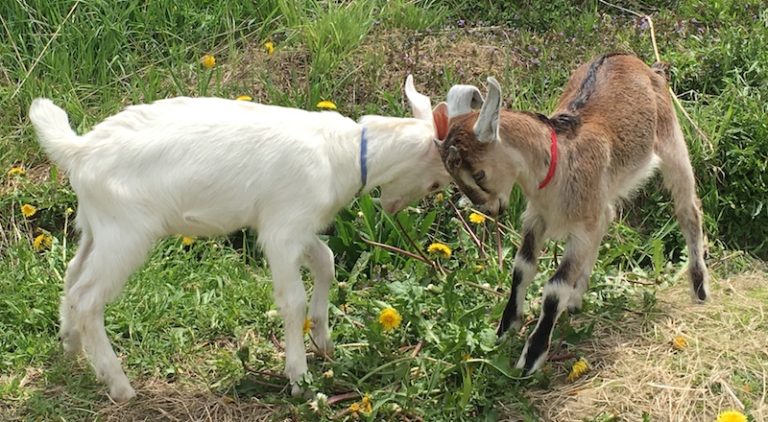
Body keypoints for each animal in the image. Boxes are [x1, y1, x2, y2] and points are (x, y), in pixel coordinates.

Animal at [28, 75, 450, 401]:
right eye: (438, 180)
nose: (393, 208)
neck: (344, 154)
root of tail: (78, 151)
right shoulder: (283, 229)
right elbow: (292, 300)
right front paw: (299, 376)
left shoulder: (293, 225)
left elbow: (327, 261)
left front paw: (324, 340)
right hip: (126, 232)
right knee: (88, 296)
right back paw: (119, 386)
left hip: (95, 226)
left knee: (72, 275)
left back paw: (70, 344)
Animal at [438, 53, 709, 374]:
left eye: (478, 173)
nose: (488, 209)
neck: (559, 164)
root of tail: (630, 58)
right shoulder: (537, 217)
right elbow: (522, 268)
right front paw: (505, 329)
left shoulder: (580, 229)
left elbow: (555, 287)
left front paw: (531, 357)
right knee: (608, 216)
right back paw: (577, 300)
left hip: (671, 140)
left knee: (688, 210)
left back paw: (700, 289)